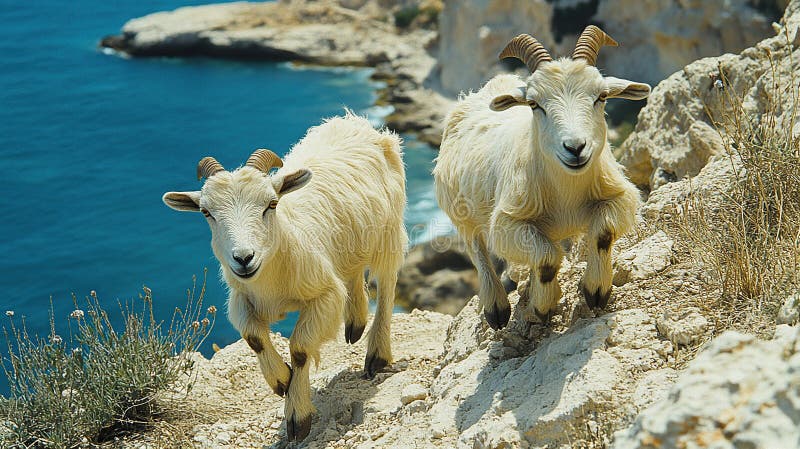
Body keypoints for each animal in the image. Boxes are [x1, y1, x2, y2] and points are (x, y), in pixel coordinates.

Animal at [163, 113, 407, 441]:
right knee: (353, 271)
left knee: (387, 282)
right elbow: (254, 337)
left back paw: (377, 354)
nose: (244, 258)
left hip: (389, 230)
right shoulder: (241, 297)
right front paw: (280, 380)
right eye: (206, 212)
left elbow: (301, 348)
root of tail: (353, 120)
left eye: (271, 204)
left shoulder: (324, 295)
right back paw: (354, 324)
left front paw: (297, 416)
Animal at [433, 26, 649, 329]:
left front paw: (596, 290)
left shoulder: (620, 196)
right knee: (477, 250)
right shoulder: (507, 222)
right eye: (535, 104)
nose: (575, 147)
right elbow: (546, 259)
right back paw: (496, 309)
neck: (566, 192)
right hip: (460, 212)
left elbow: (602, 234)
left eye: (601, 96)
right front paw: (542, 306)